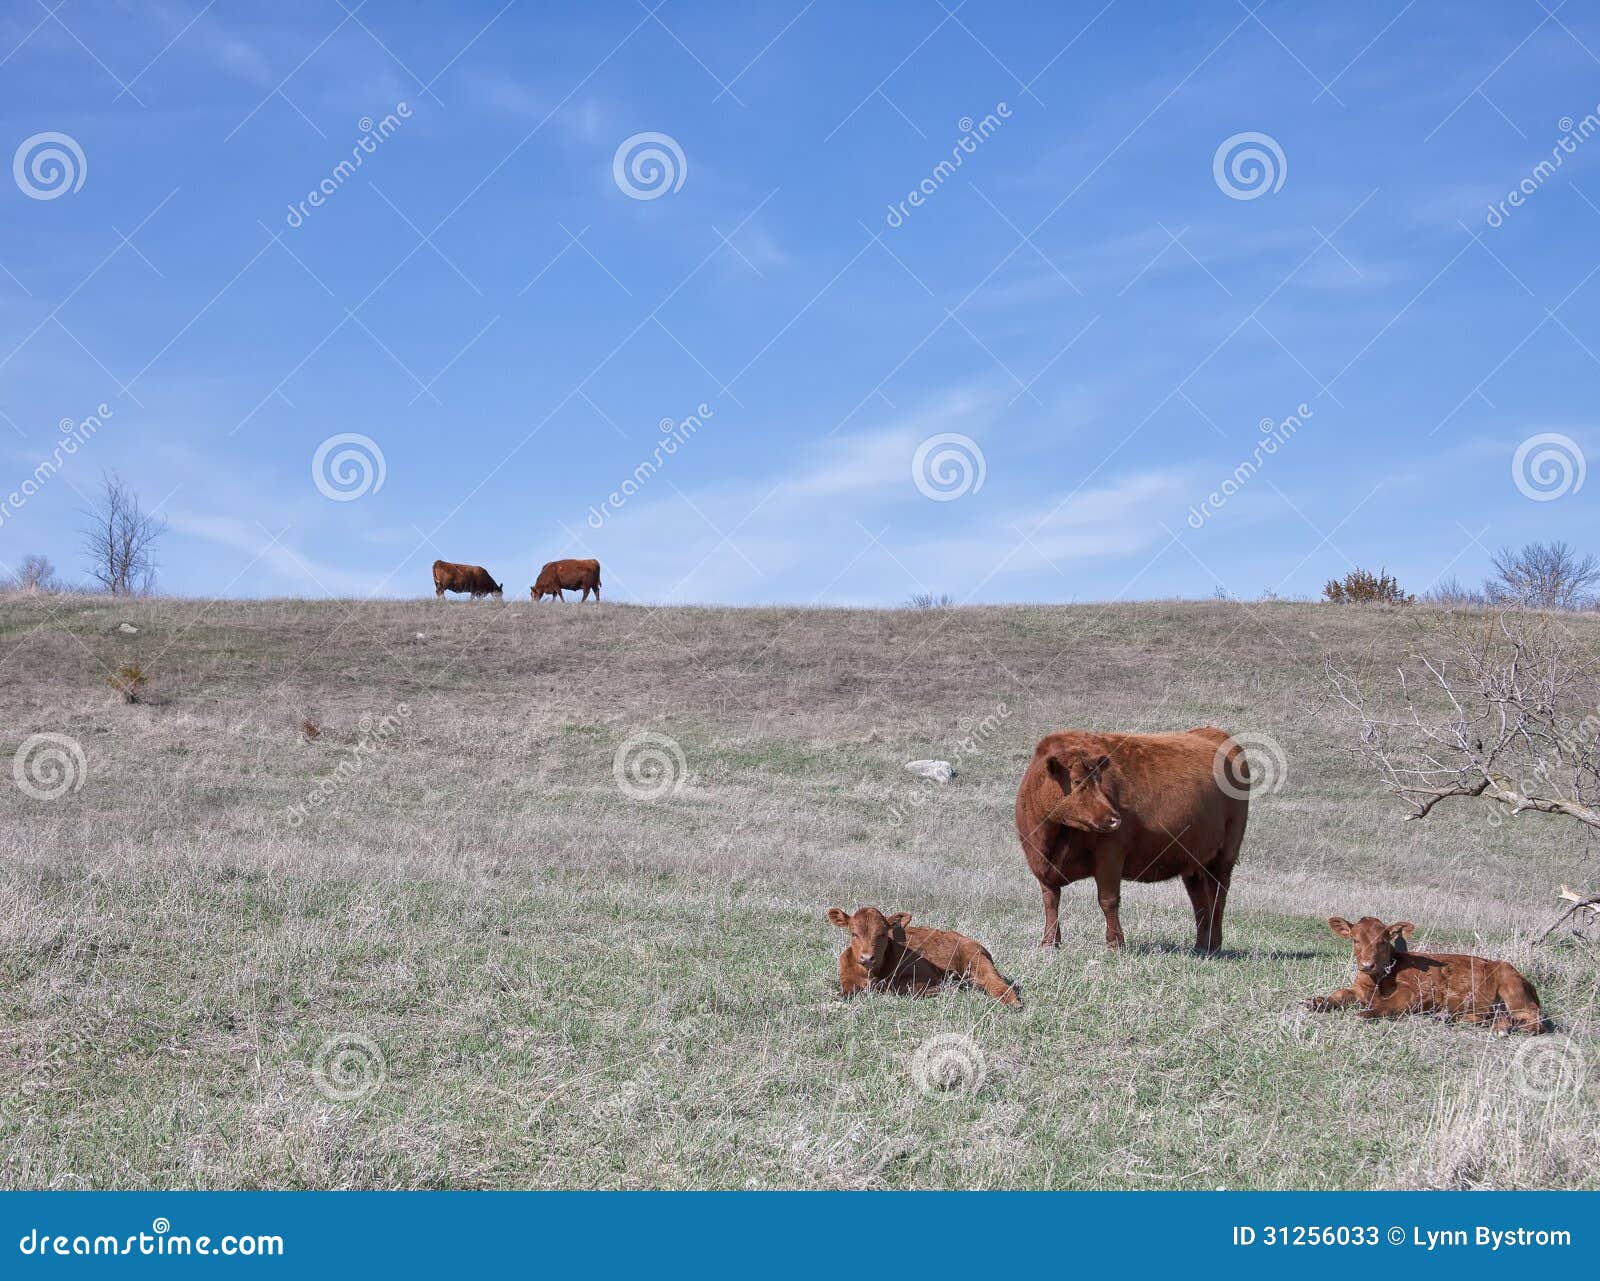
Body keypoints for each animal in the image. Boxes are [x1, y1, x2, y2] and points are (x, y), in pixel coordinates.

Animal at [826, 906, 1020, 1006]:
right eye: (853, 933)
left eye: (882, 934)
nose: (867, 958)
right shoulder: (847, 980)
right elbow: (847, 991)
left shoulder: (924, 974)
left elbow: (904, 989)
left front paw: (943, 989)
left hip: (978, 962)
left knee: (998, 984)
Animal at [1014, 727, 1250, 952]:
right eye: (1077, 781)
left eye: (1099, 780)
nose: (1113, 819)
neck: (1051, 838)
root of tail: (1216, 734)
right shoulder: (1040, 864)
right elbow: (1050, 901)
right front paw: (1049, 943)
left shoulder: (1110, 853)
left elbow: (1108, 900)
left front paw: (1115, 944)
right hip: (1194, 860)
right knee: (1200, 902)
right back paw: (1202, 946)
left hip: (1225, 854)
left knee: (1218, 897)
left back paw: (1214, 946)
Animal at [1305, 916, 1546, 1035]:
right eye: (1355, 940)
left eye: (1383, 941)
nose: (1367, 965)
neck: (1379, 980)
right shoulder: (1358, 989)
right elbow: (1339, 993)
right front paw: (1316, 1001)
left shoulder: (1417, 992)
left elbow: (1389, 1005)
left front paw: (1366, 1013)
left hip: (1511, 988)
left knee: (1534, 1020)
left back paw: (1508, 1026)